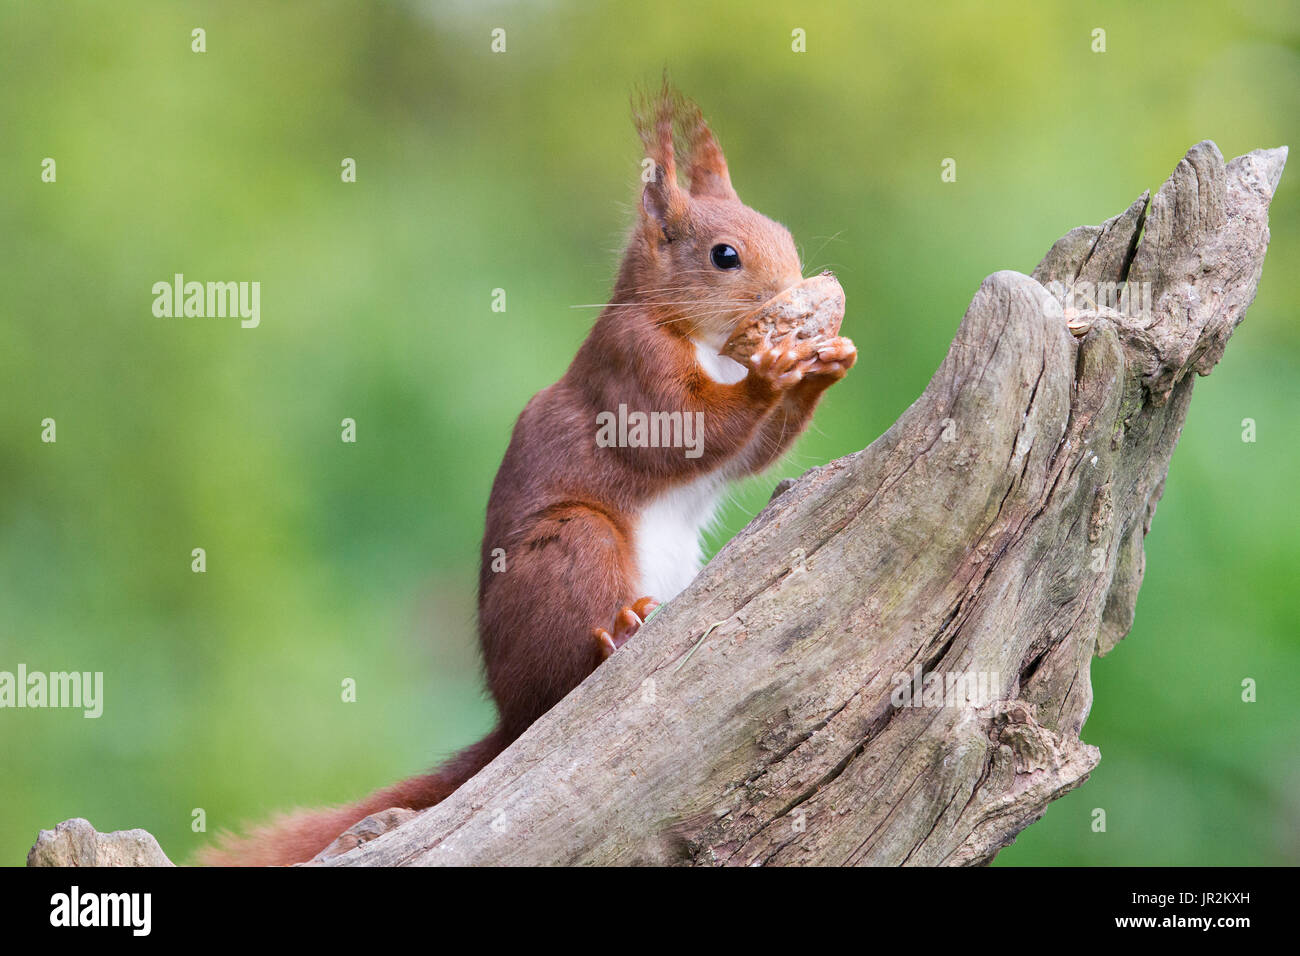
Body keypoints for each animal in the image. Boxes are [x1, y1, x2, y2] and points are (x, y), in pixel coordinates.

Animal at [201, 83, 856, 866]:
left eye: (783, 232)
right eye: (724, 255)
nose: (790, 288)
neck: (707, 340)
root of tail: (510, 719)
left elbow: (755, 454)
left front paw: (825, 363)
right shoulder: (629, 369)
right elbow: (683, 432)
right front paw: (768, 376)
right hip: (573, 546)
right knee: (563, 674)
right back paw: (618, 635)